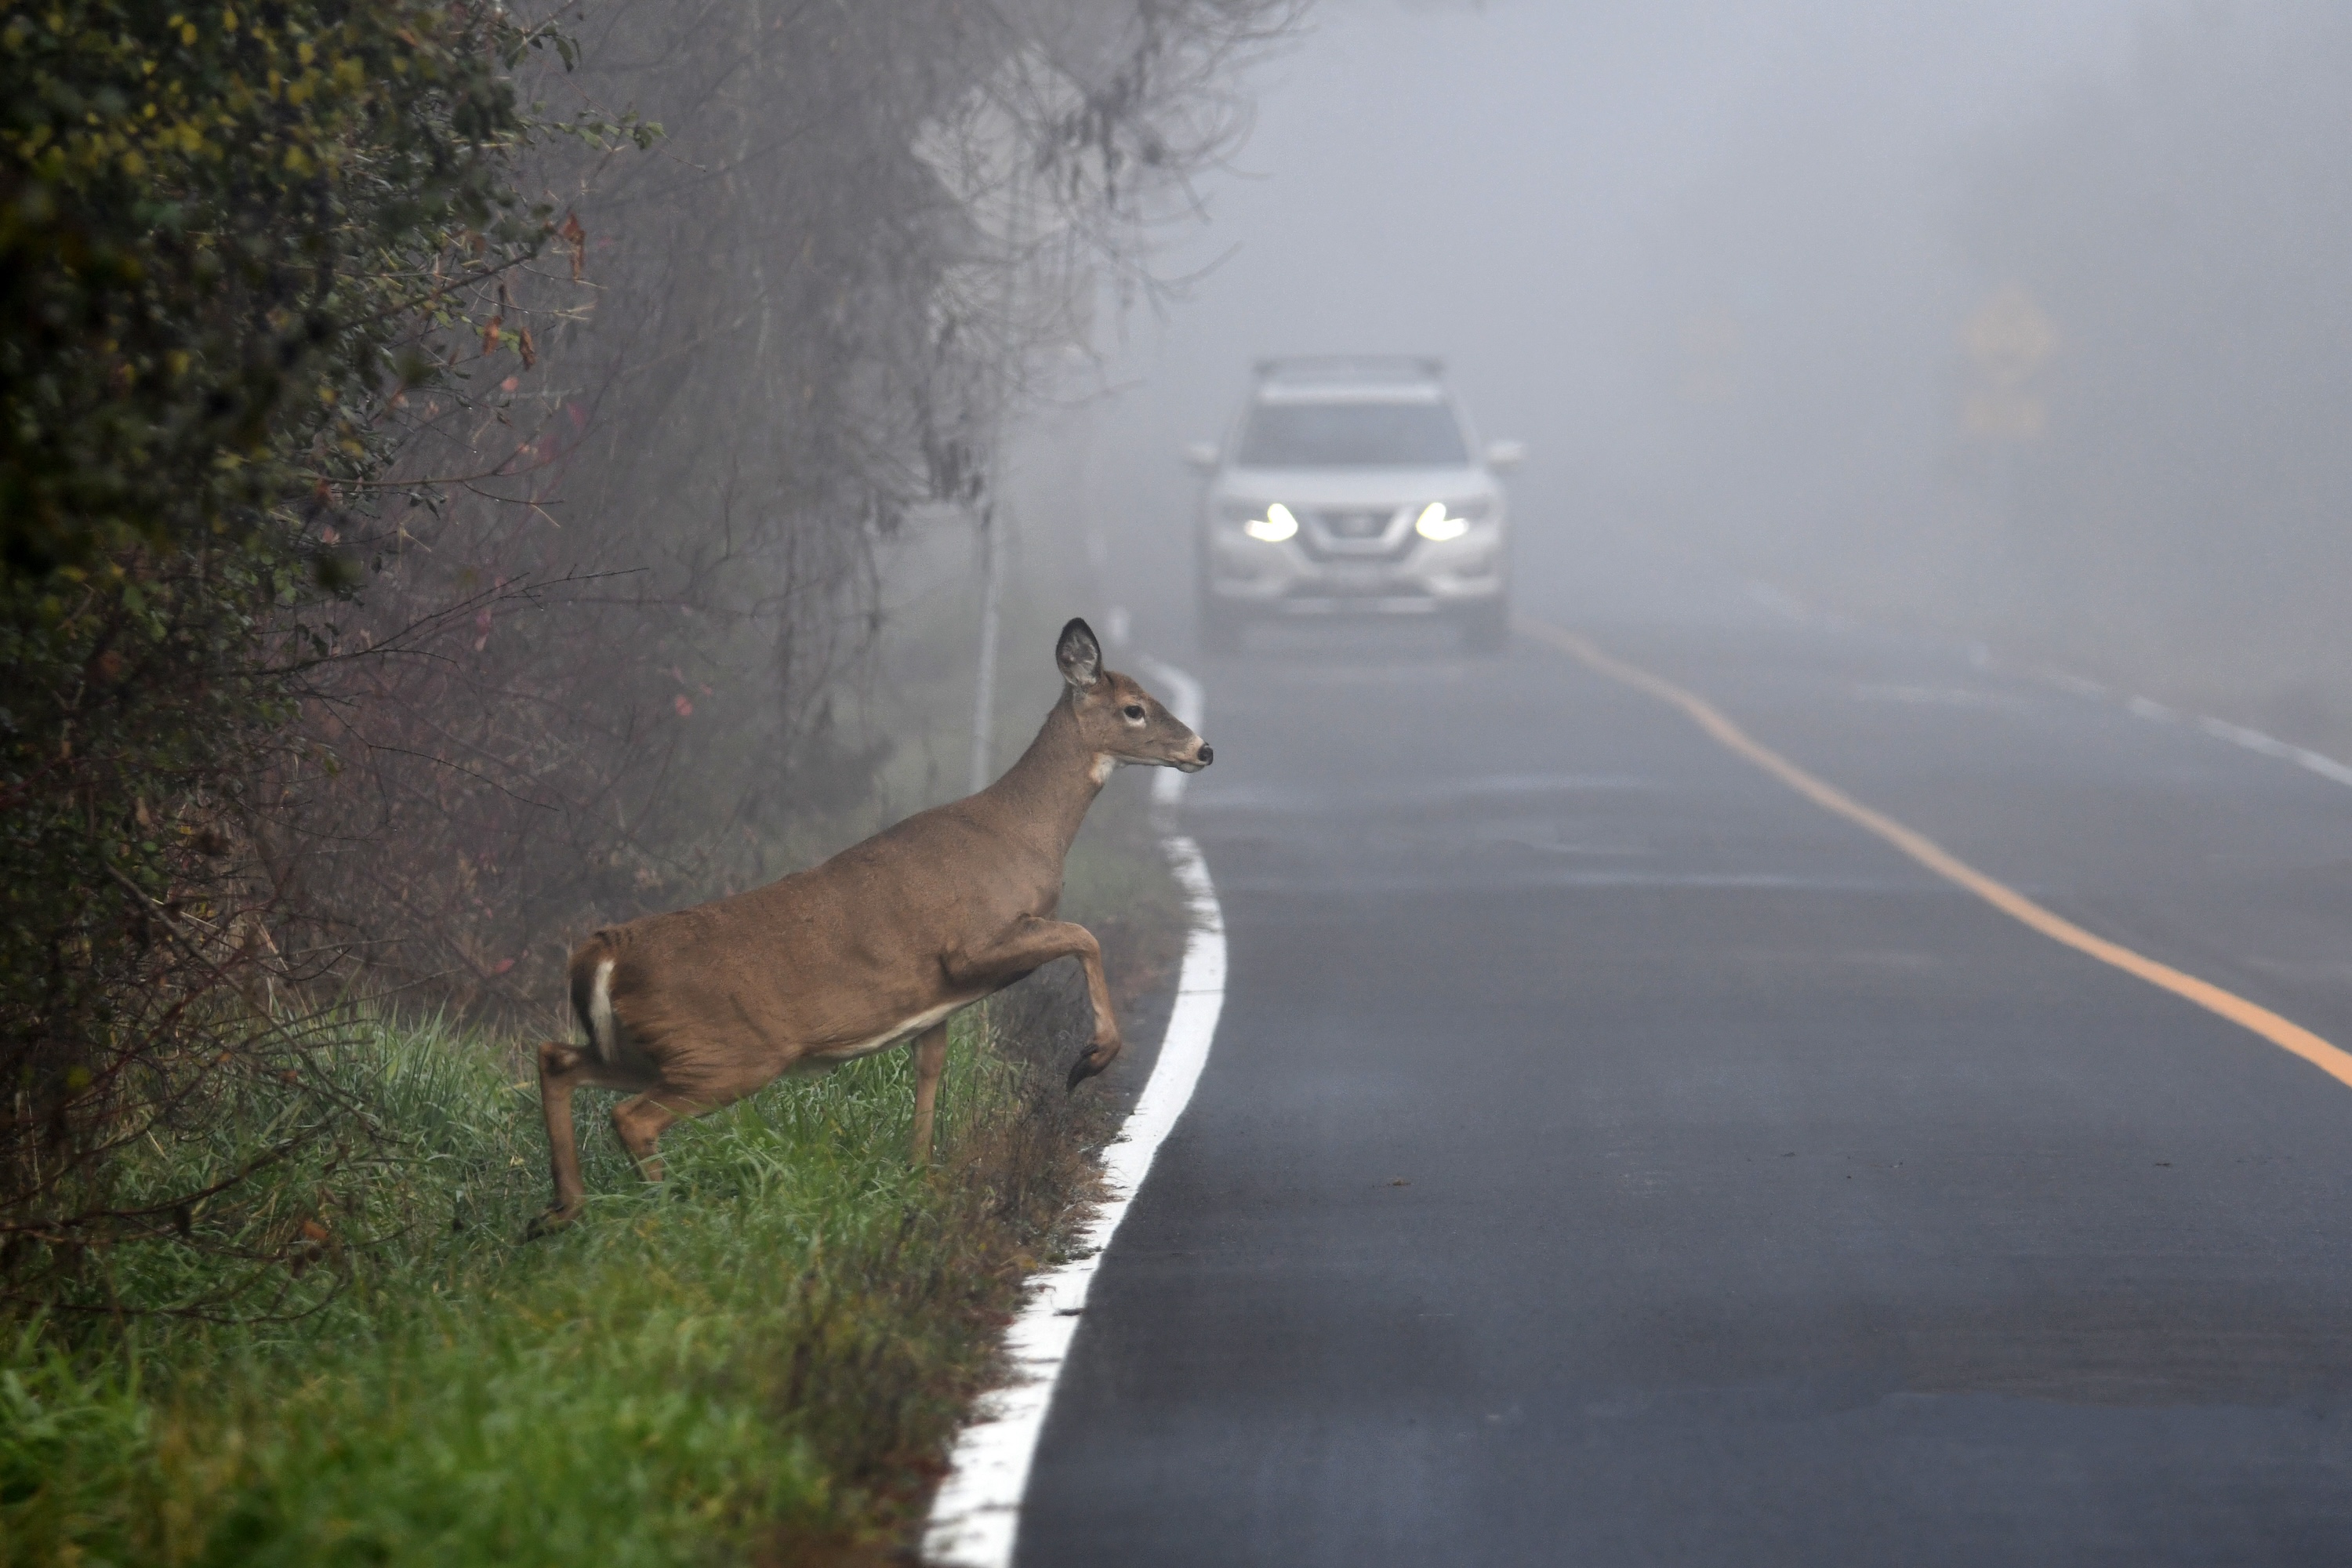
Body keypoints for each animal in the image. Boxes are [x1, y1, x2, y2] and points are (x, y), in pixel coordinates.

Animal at [528, 617, 1212, 1233]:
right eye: (1134, 709)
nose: (1203, 749)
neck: (1023, 835)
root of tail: (604, 953)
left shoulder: (936, 1004)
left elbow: (930, 1077)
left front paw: (920, 1182)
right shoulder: (968, 945)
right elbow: (1083, 935)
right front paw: (1091, 1058)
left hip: (652, 1048)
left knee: (558, 1059)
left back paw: (561, 1212)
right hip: (727, 1052)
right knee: (631, 1116)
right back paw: (662, 1216)